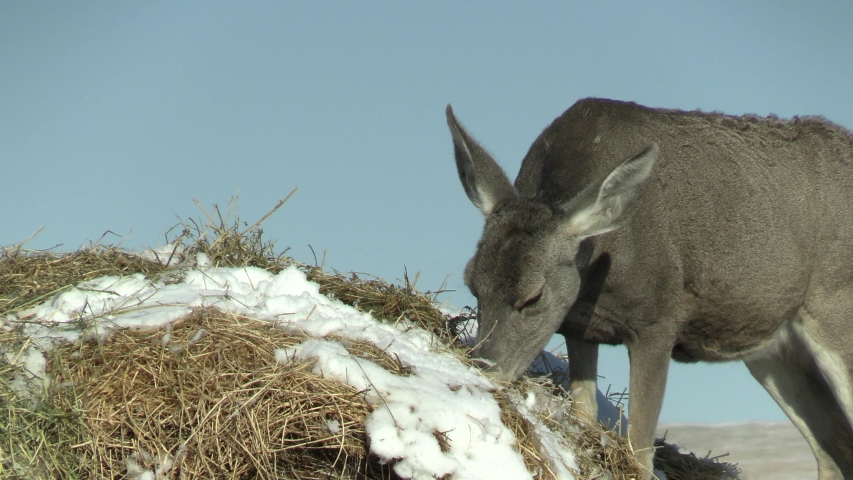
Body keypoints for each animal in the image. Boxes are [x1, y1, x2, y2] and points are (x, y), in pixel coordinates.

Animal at [445, 98, 853, 479]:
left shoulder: (658, 318)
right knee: (833, 446)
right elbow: (584, 412)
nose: (484, 366)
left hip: (834, 309)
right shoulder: (580, 325)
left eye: (533, 297)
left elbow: (640, 449)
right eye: (472, 283)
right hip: (772, 347)